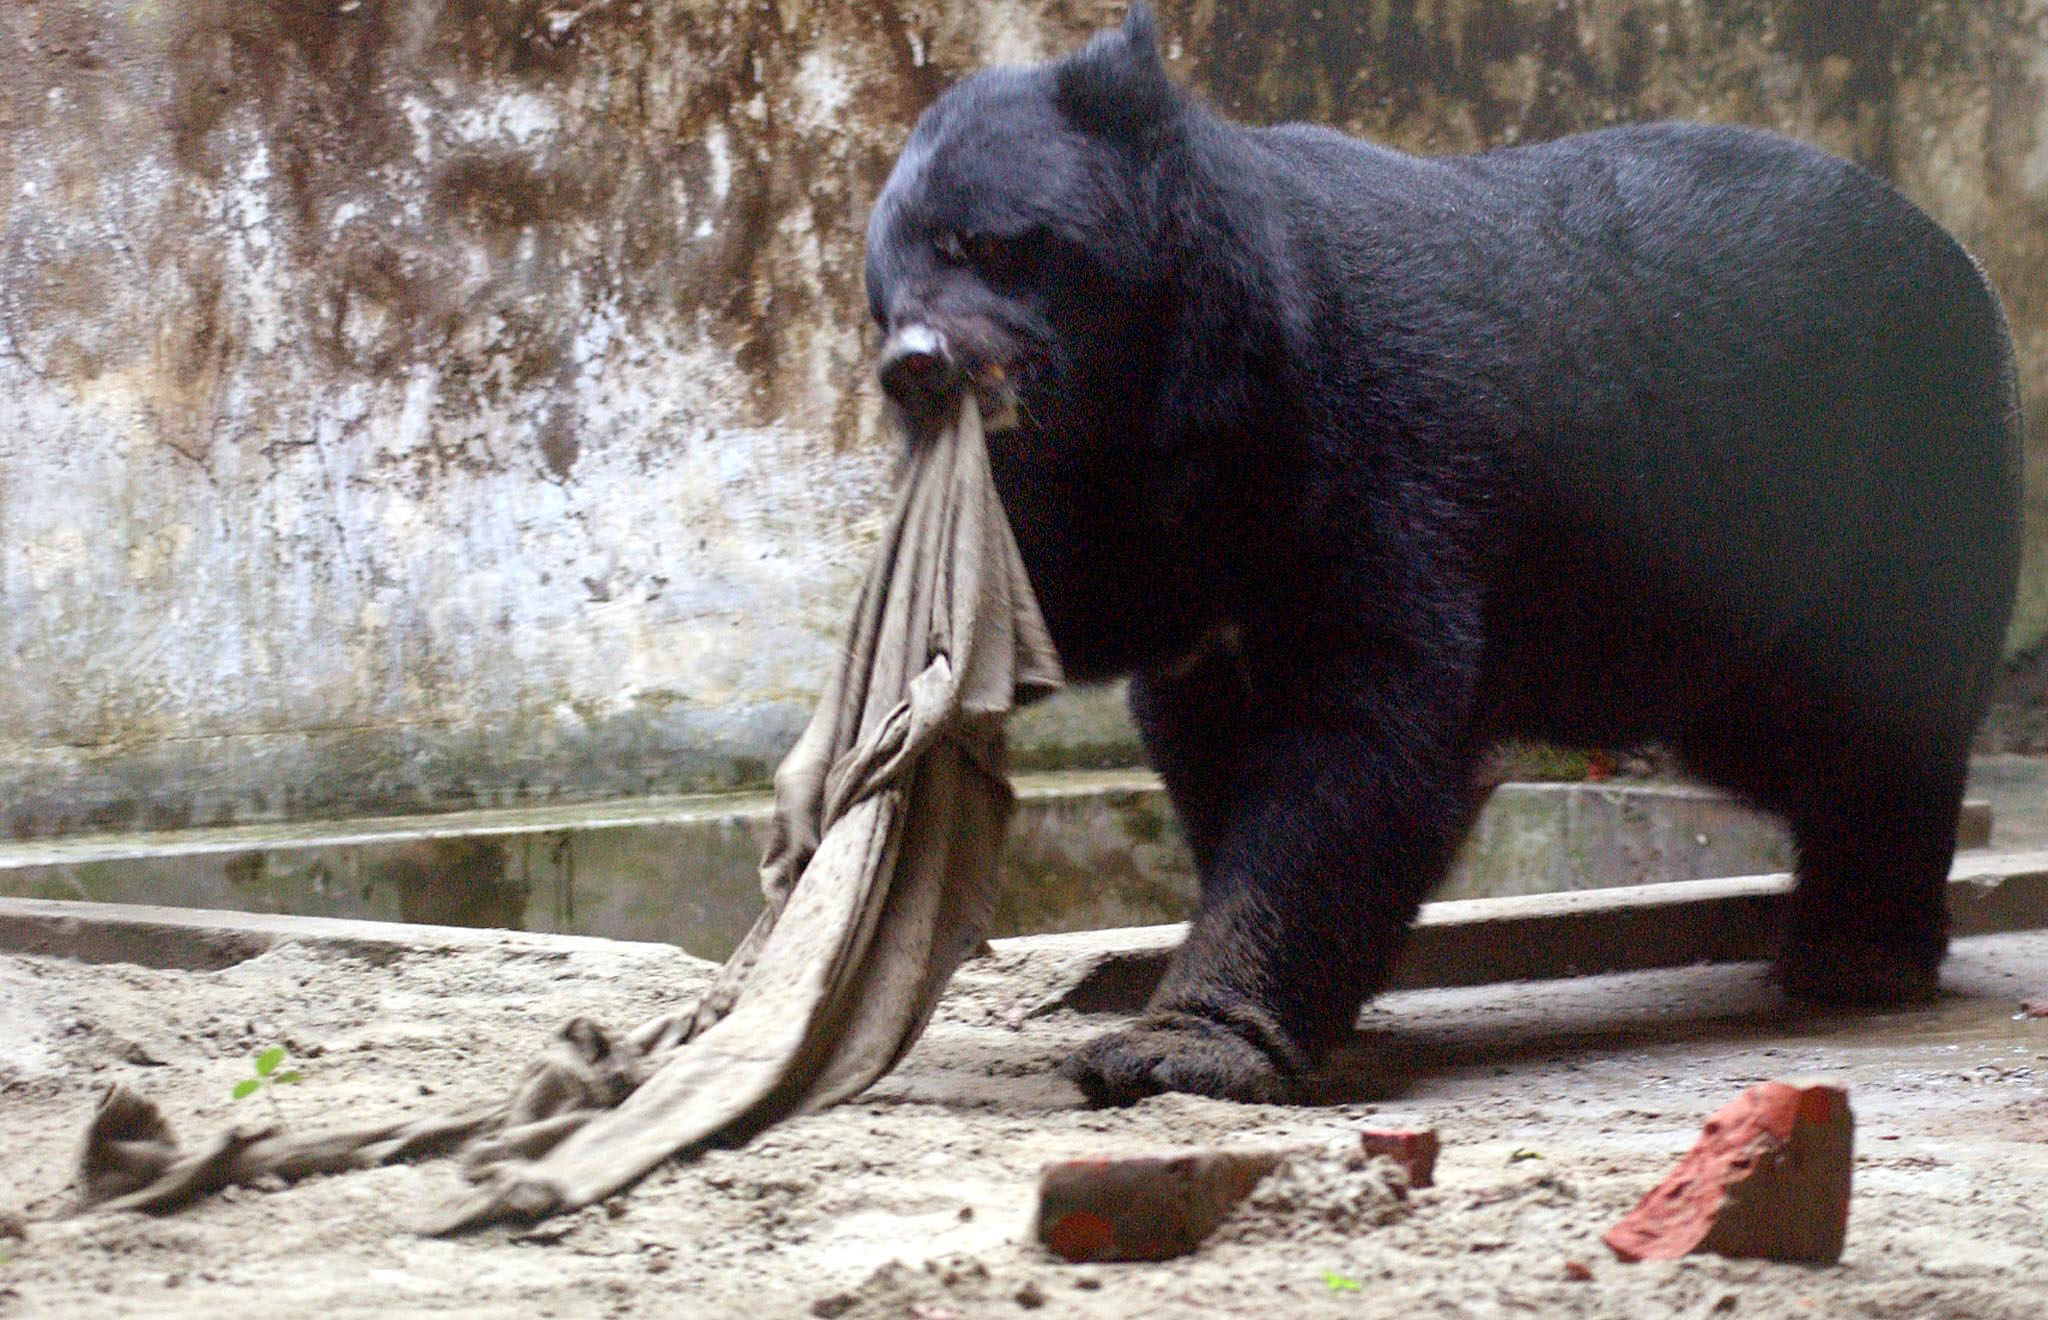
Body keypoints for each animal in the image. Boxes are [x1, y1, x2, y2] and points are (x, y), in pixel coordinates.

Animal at [862, 5, 2025, 1105]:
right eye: (883, 295)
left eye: (987, 243)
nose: (913, 366)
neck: (1193, 429)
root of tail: (1964, 263)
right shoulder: (1185, 570)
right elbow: (1208, 739)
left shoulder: (1384, 466)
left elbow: (1354, 745)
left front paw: (1182, 1050)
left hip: (1898, 486)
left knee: (1880, 718)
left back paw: (1858, 955)